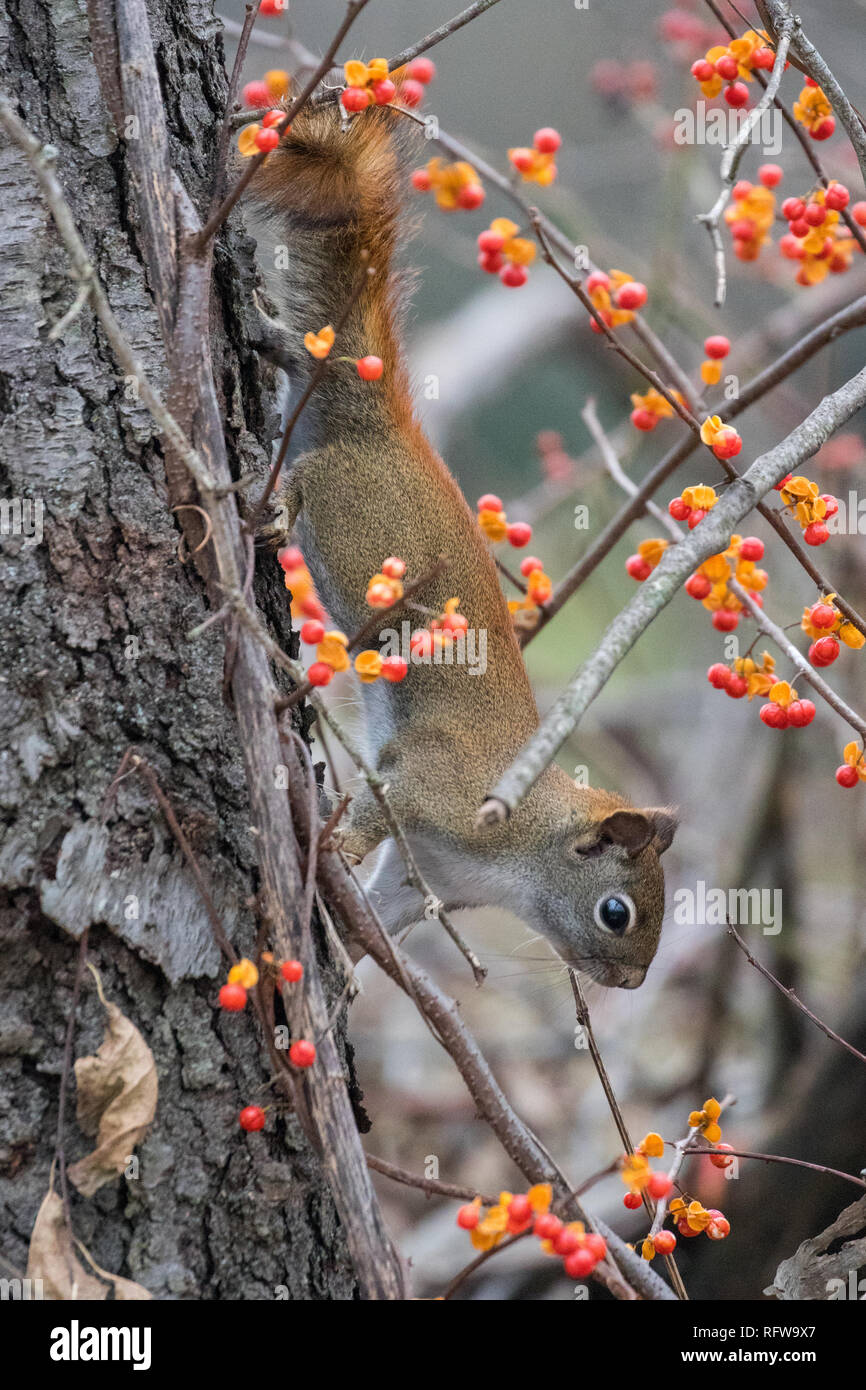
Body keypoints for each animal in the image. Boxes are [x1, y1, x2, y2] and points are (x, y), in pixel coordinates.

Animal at [249, 103, 676, 989]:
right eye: (616, 912)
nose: (629, 982)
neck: (519, 848)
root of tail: (388, 431)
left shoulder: (428, 883)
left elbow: (385, 920)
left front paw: (351, 968)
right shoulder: (430, 789)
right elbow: (374, 815)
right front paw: (339, 853)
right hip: (345, 515)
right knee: (305, 475)